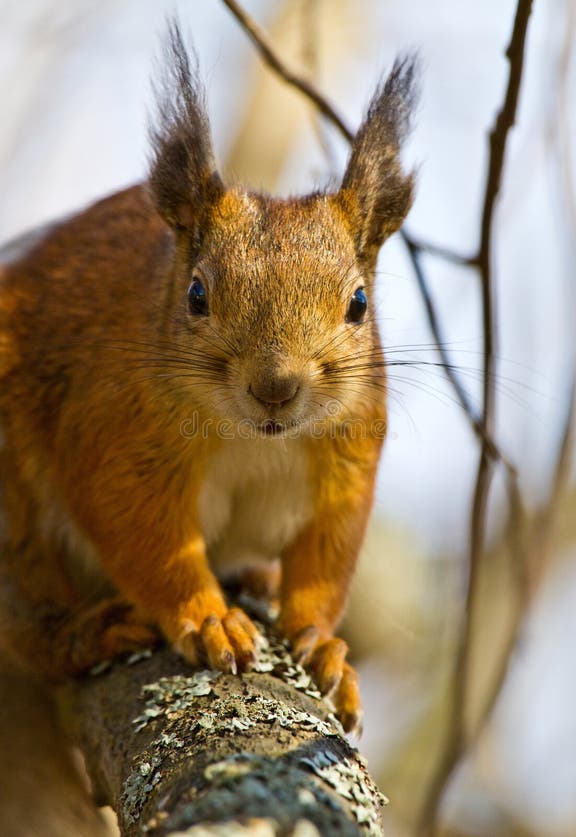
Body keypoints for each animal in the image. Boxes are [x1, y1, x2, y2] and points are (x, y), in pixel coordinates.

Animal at [0, 22, 417, 742]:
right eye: (197, 294)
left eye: (359, 304)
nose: (275, 387)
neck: (255, 438)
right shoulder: (113, 431)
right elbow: (146, 536)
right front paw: (208, 616)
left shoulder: (349, 455)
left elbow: (327, 558)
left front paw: (322, 643)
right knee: (22, 622)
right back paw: (85, 632)